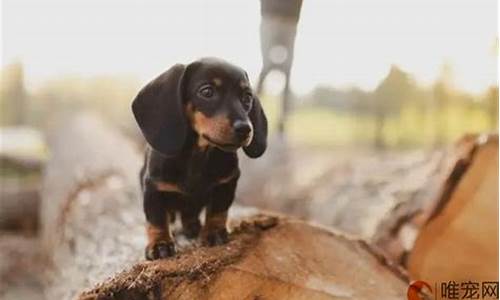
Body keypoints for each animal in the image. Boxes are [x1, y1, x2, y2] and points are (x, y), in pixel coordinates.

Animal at [131, 57, 268, 258]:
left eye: (247, 97)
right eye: (207, 92)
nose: (245, 129)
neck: (198, 154)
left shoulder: (226, 184)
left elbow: (218, 211)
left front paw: (214, 232)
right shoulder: (154, 188)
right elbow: (156, 219)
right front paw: (160, 244)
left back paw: (193, 226)